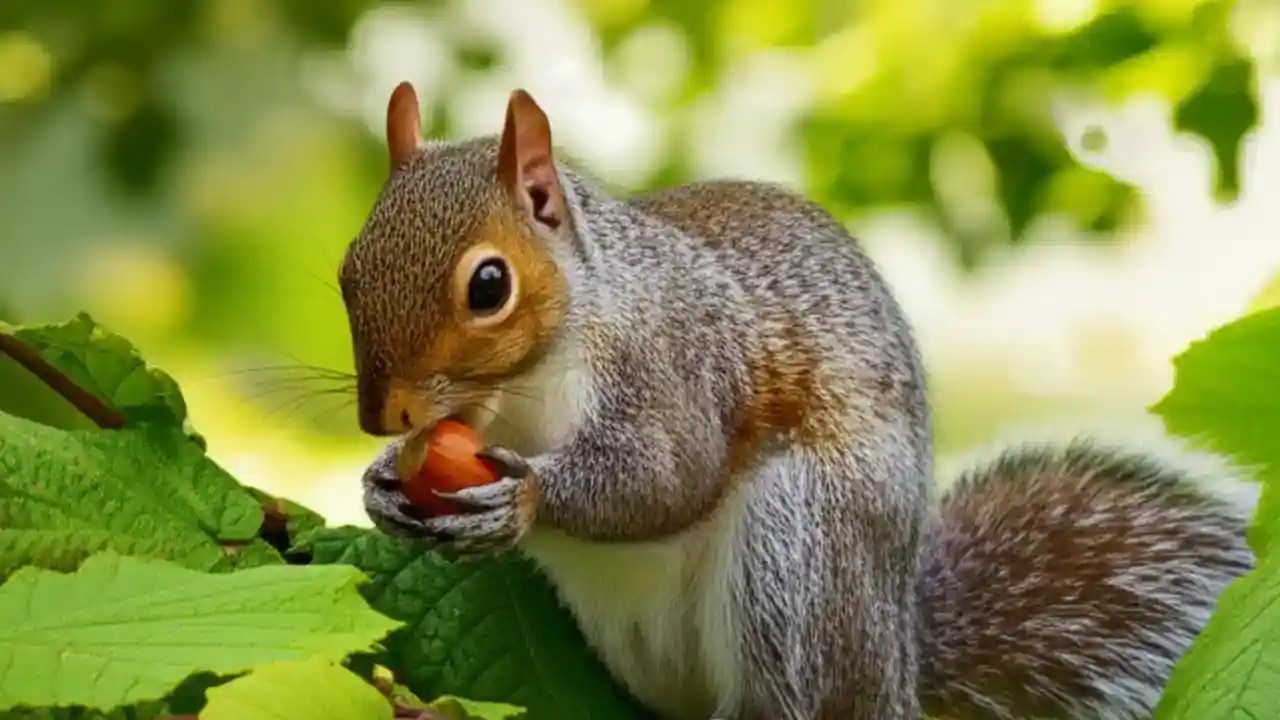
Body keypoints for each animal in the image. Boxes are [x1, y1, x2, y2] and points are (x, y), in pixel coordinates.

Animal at [339, 81, 1257, 720]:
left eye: (489, 285)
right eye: (349, 268)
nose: (383, 416)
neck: (525, 385)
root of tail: (898, 667)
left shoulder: (675, 362)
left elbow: (669, 474)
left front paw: (525, 495)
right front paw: (383, 481)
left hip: (800, 552)